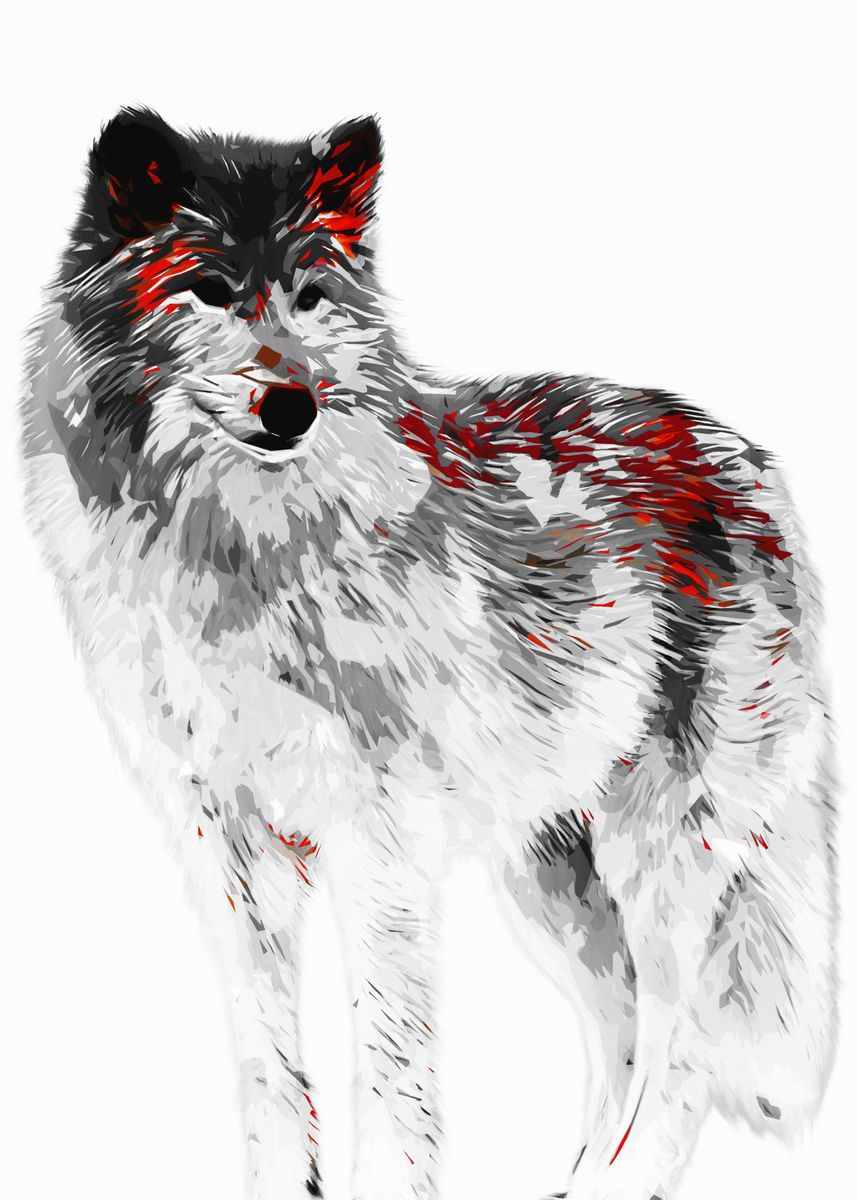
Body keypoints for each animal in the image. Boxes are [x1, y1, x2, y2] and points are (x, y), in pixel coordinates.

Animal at [20, 108, 837, 1200]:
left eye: (312, 296)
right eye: (210, 290)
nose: (293, 406)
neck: (240, 547)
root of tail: (745, 457)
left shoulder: (382, 841)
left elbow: (391, 1065)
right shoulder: (226, 844)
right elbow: (270, 1068)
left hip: (665, 857)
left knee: (683, 1050)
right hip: (552, 880)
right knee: (621, 1028)